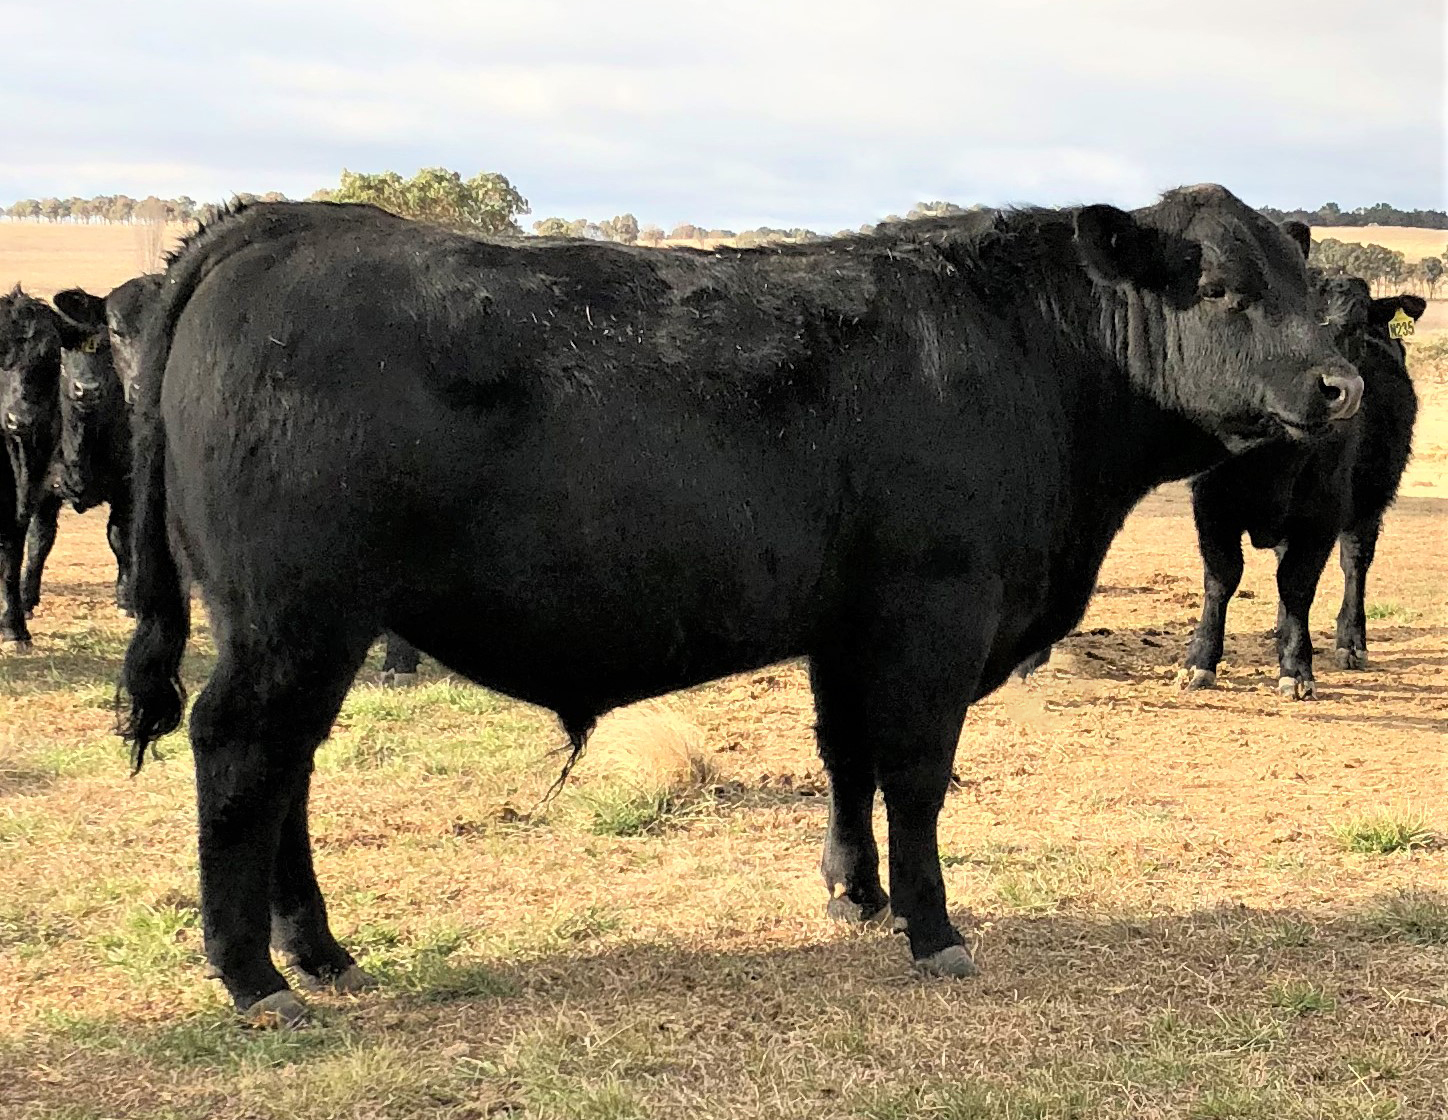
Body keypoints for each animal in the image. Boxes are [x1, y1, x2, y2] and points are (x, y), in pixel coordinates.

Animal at [118, 186, 1360, 1024]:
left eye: (1309, 292)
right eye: (1219, 287)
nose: (1340, 386)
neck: (1030, 351)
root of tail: (278, 222)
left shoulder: (847, 626)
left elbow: (845, 756)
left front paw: (854, 895)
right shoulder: (933, 613)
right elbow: (915, 775)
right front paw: (932, 926)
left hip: (303, 624)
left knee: (287, 768)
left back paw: (318, 951)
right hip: (294, 617)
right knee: (240, 752)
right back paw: (252, 976)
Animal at [1181, 230, 1422, 697]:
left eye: (1353, 327)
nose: (1335, 391)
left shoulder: (1321, 513)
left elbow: (1298, 584)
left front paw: (1296, 668)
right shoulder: (1211, 502)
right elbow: (1222, 577)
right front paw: (1199, 661)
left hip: (1371, 500)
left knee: (1355, 563)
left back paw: (1350, 642)